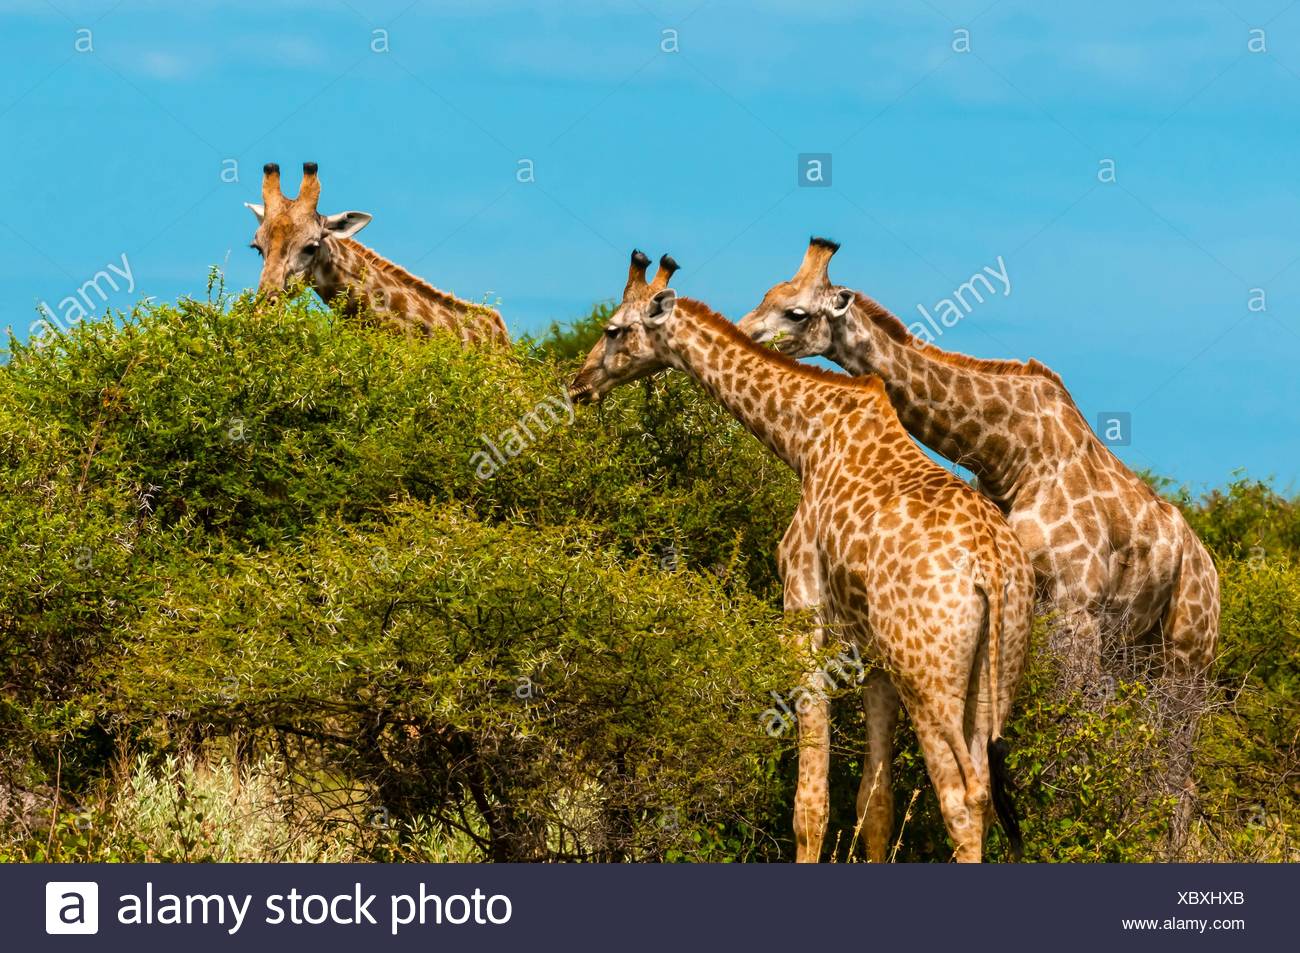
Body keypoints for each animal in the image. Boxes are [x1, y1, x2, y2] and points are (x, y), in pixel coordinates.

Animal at [569, 250, 1035, 862]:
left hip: (928, 674)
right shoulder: (873, 657)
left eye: (613, 329)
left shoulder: (803, 619)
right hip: (994, 675)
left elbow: (810, 804)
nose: (577, 384)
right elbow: (875, 806)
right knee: (979, 788)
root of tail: (993, 568)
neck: (805, 440)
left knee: (959, 796)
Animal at [738, 238, 1221, 849]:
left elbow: (1071, 725)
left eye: (795, 312)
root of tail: (1210, 568)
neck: (1010, 456)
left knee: (1181, 764)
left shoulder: (1075, 608)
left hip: (1188, 656)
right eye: (767, 294)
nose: (741, 333)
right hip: (1138, 654)